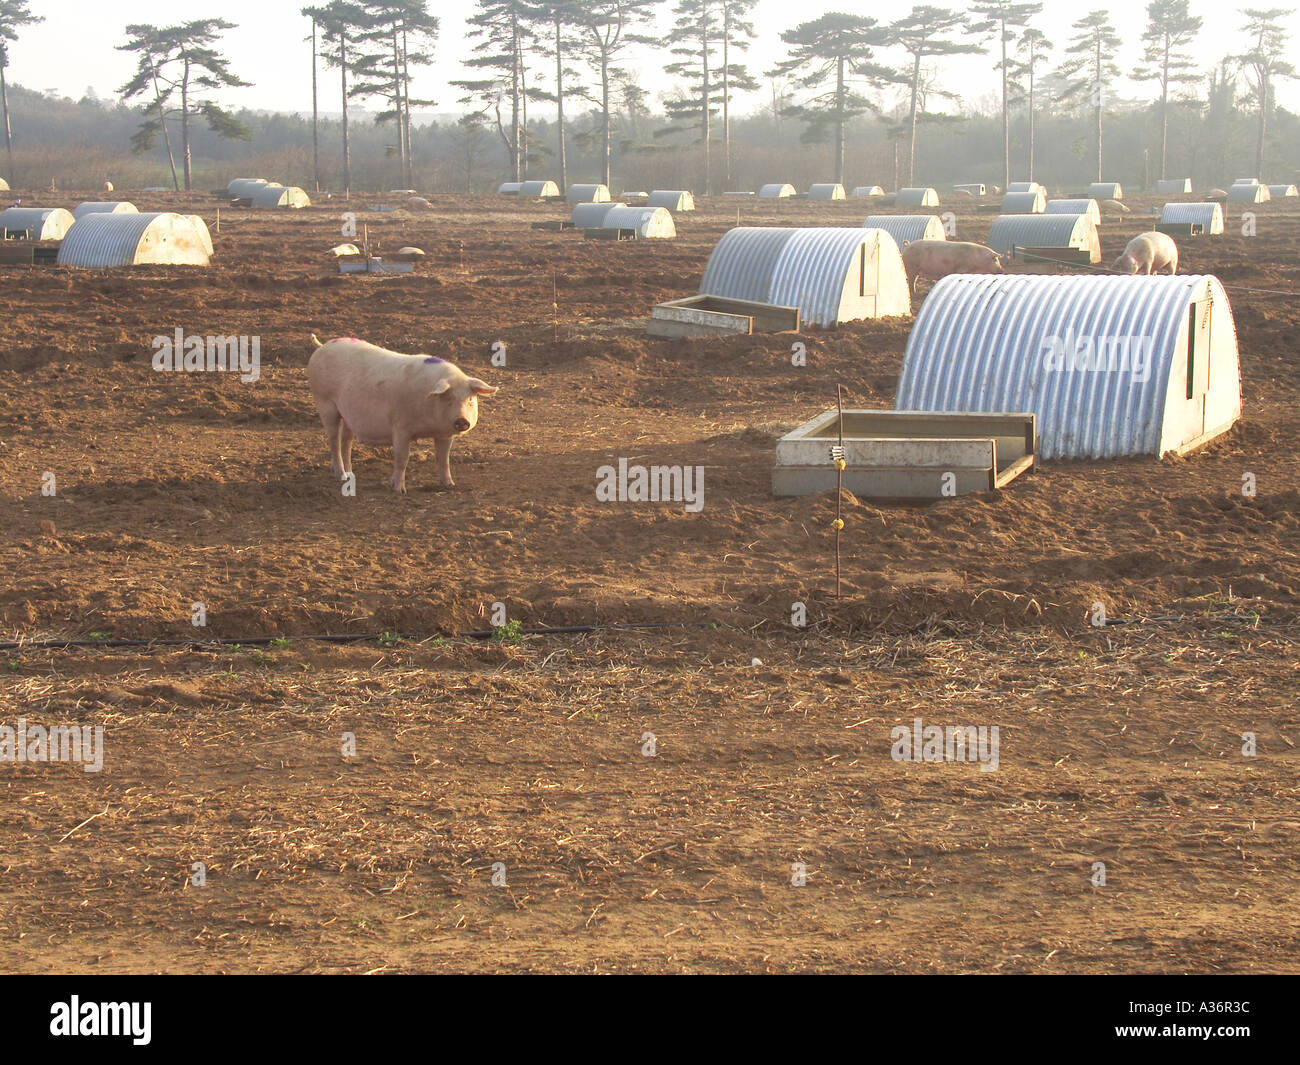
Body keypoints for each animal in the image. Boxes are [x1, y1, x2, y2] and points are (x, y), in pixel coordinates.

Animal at [307, 335, 498, 493]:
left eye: (470, 399)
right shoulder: (400, 426)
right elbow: (401, 458)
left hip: (348, 415)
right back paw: (341, 475)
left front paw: (449, 485)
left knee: (346, 441)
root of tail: (322, 346)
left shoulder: (444, 434)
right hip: (324, 402)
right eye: (448, 398)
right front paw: (400, 490)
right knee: (333, 440)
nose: (462, 420)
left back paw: (349, 473)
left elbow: (443, 459)